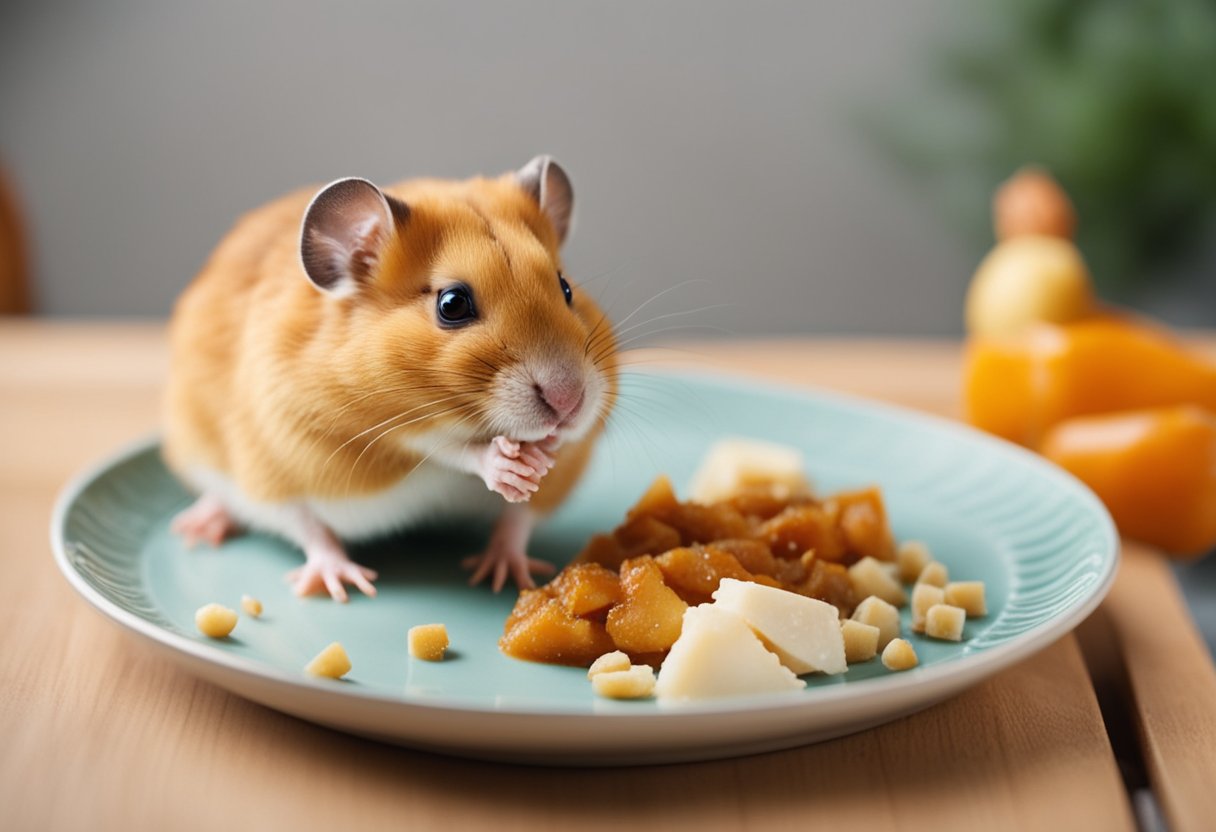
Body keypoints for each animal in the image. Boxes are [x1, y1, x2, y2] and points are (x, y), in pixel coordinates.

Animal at [163, 156, 617, 601]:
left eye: (566, 288)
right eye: (452, 304)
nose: (569, 403)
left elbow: (519, 510)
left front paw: (540, 460)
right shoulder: (337, 424)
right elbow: (445, 448)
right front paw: (510, 463)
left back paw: (503, 570)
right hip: (264, 472)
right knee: (304, 527)